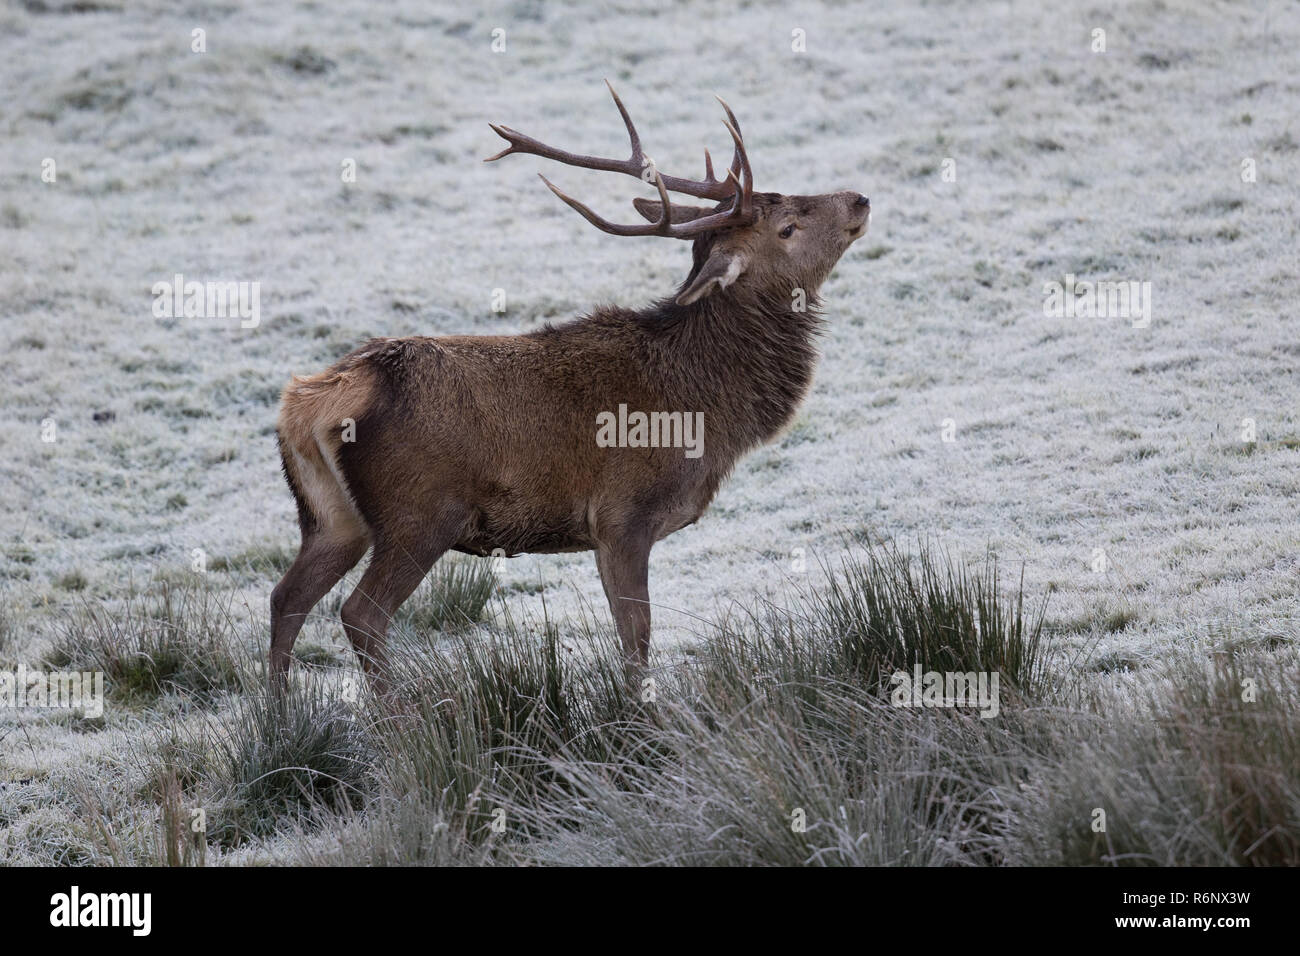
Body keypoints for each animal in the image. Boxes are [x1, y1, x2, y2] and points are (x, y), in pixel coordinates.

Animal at [269, 82, 870, 694]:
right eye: (787, 227)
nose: (860, 200)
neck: (704, 408)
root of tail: (308, 402)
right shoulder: (623, 514)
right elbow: (637, 638)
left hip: (331, 519)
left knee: (286, 597)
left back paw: (281, 712)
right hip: (419, 512)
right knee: (360, 613)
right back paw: (398, 713)